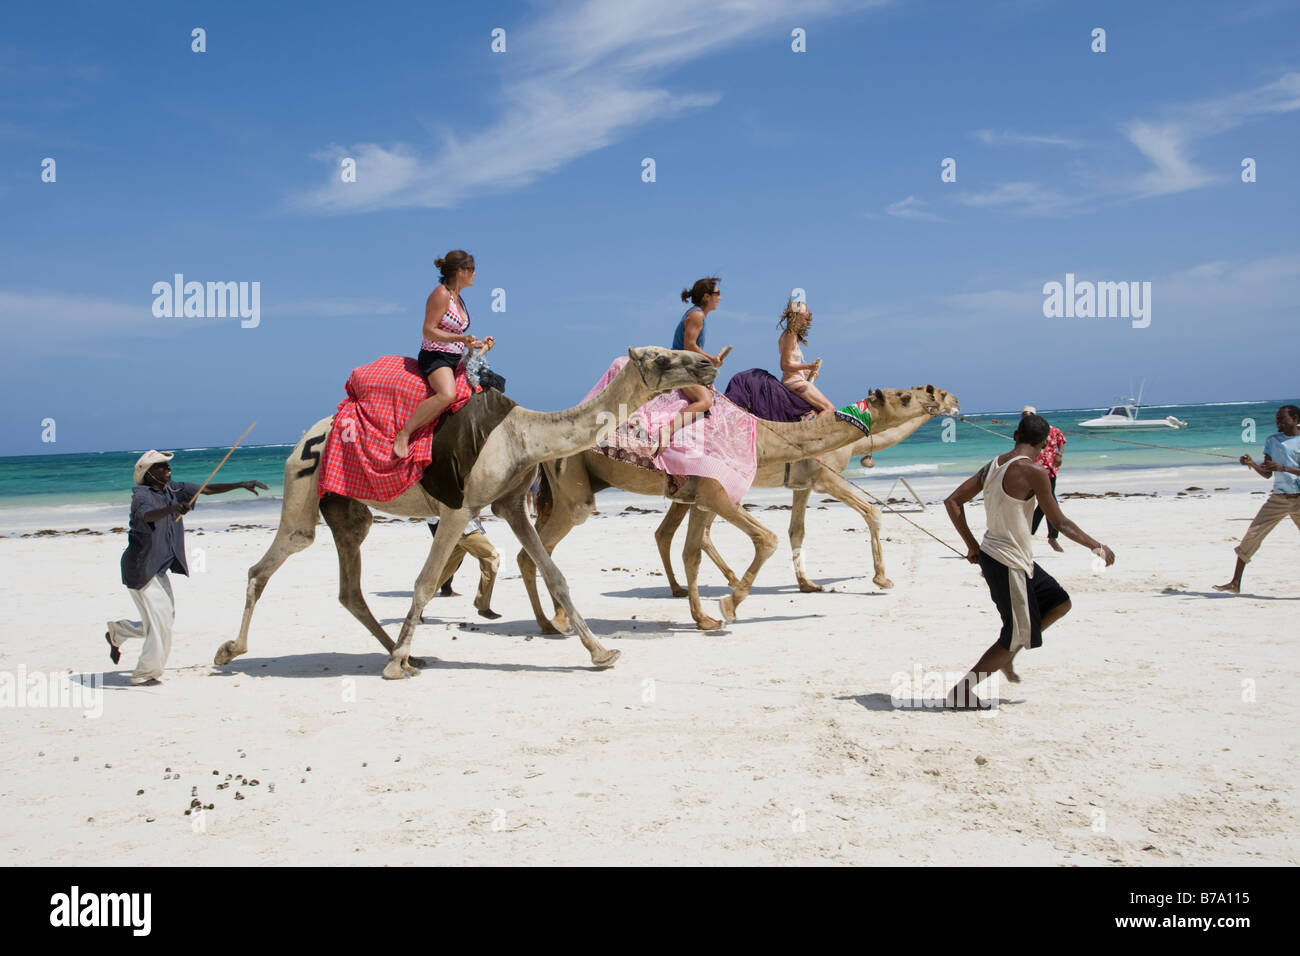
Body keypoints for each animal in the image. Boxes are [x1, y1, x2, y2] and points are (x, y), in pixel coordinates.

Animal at [212, 347, 716, 679]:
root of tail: (303, 438)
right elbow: (424, 583)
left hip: (348, 511)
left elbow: (554, 574)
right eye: (663, 358)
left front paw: (601, 653)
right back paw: (230, 651)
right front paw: (393, 668)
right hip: (303, 486)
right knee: (273, 559)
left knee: (349, 588)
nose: (708, 362)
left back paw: (404, 655)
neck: (522, 435)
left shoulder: (510, 505)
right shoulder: (460, 508)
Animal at [655, 405, 952, 595]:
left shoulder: (803, 486)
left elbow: (796, 530)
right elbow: (872, 512)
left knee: (673, 532)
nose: (953, 409)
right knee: (686, 532)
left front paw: (807, 584)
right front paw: (881, 579)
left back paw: (705, 584)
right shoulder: (827, 479)